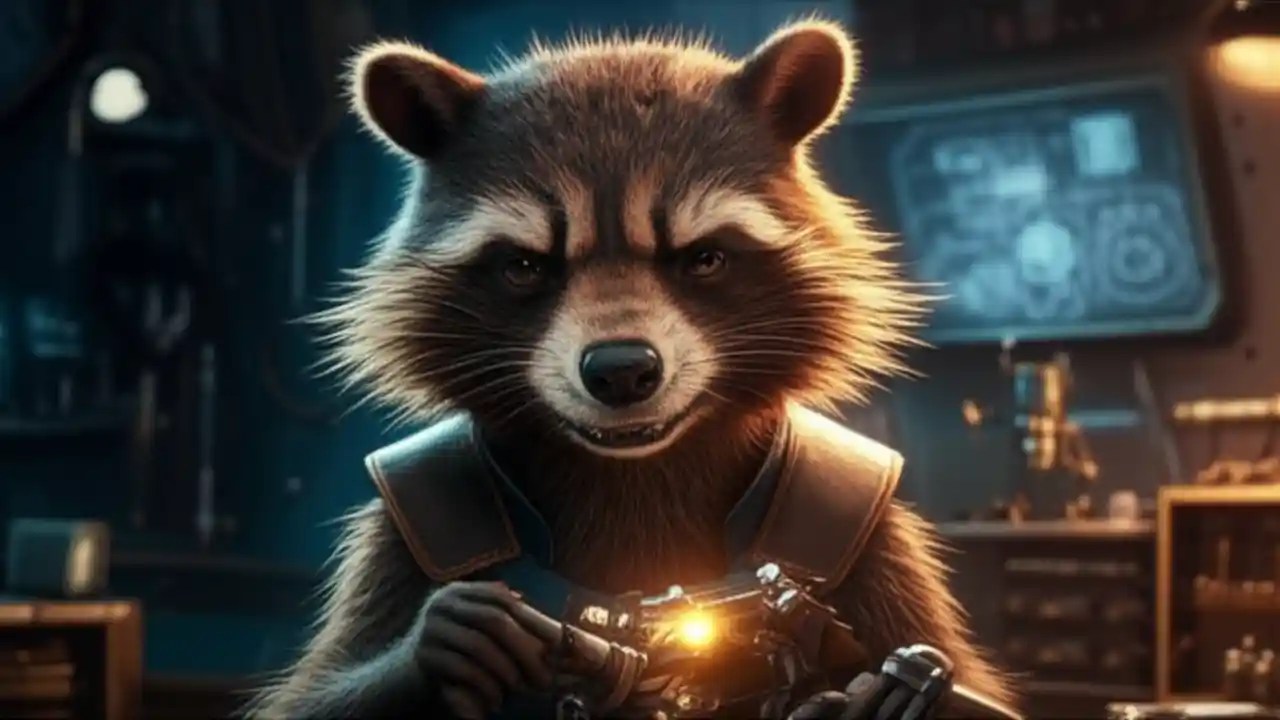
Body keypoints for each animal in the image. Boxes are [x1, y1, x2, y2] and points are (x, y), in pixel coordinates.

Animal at [249, 19, 1014, 719]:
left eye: (704, 258)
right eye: (524, 266)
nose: (620, 371)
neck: (634, 468)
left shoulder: (863, 523)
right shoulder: (407, 516)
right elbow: (312, 695)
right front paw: (438, 645)